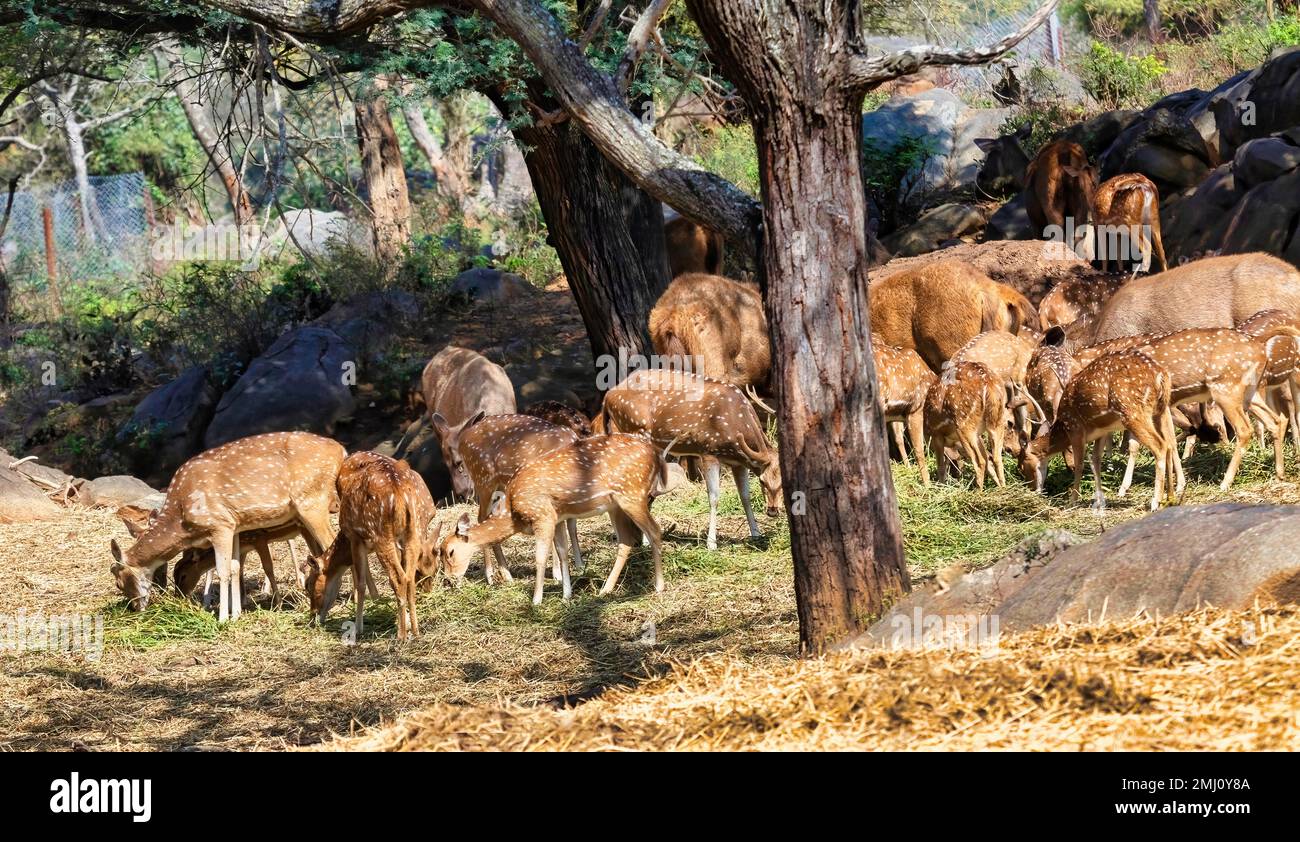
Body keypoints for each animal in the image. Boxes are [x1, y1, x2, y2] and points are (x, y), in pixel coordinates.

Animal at [109, 432, 345, 622]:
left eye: (119, 583)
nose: (136, 608)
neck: (182, 519)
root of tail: (340, 450)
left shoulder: (219, 524)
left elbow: (222, 571)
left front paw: (222, 618)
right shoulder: (236, 526)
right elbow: (235, 567)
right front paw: (236, 614)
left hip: (311, 502)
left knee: (330, 544)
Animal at [298, 452, 438, 641]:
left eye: (308, 584)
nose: (313, 616)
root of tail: (401, 493)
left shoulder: (355, 537)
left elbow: (361, 583)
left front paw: (358, 628)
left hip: (382, 533)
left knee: (398, 578)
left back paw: (401, 636)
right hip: (413, 532)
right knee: (409, 577)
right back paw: (415, 631)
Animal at [437, 434, 669, 604]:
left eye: (450, 551)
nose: (448, 581)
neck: (514, 514)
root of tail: (657, 456)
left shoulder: (543, 515)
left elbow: (540, 557)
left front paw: (536, 600)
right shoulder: (557, 517)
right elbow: (562, 551)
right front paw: (567, 595)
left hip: (632, 494)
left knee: (654, 530)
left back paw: (658, 586)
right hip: (616, 505)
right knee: (626, 540)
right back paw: (605, 590)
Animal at [597, 368, 782, 551]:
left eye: (783, 484)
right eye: (762, 481)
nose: (773, 511)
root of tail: (607, 397)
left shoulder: (738, 464)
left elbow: (745, 496)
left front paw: (756, 534)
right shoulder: (708, 451)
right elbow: (714, 497)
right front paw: (711, 543)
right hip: (635, 428)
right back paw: (642, 542)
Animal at [1018, 349, 1182, 512]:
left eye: (1022, 466)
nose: (1032, 489)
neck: (1063, 426)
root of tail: (1160, 375)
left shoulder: (1075, 427)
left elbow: (1079, 464)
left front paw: (1072, 501)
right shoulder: (1103, 430)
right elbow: (1096, 460)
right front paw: (1099, 501)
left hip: (1133, 411)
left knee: (1160, 445)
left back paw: (1155, 502)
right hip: (1161, 410)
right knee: (1169, 443)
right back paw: (1171, 497)